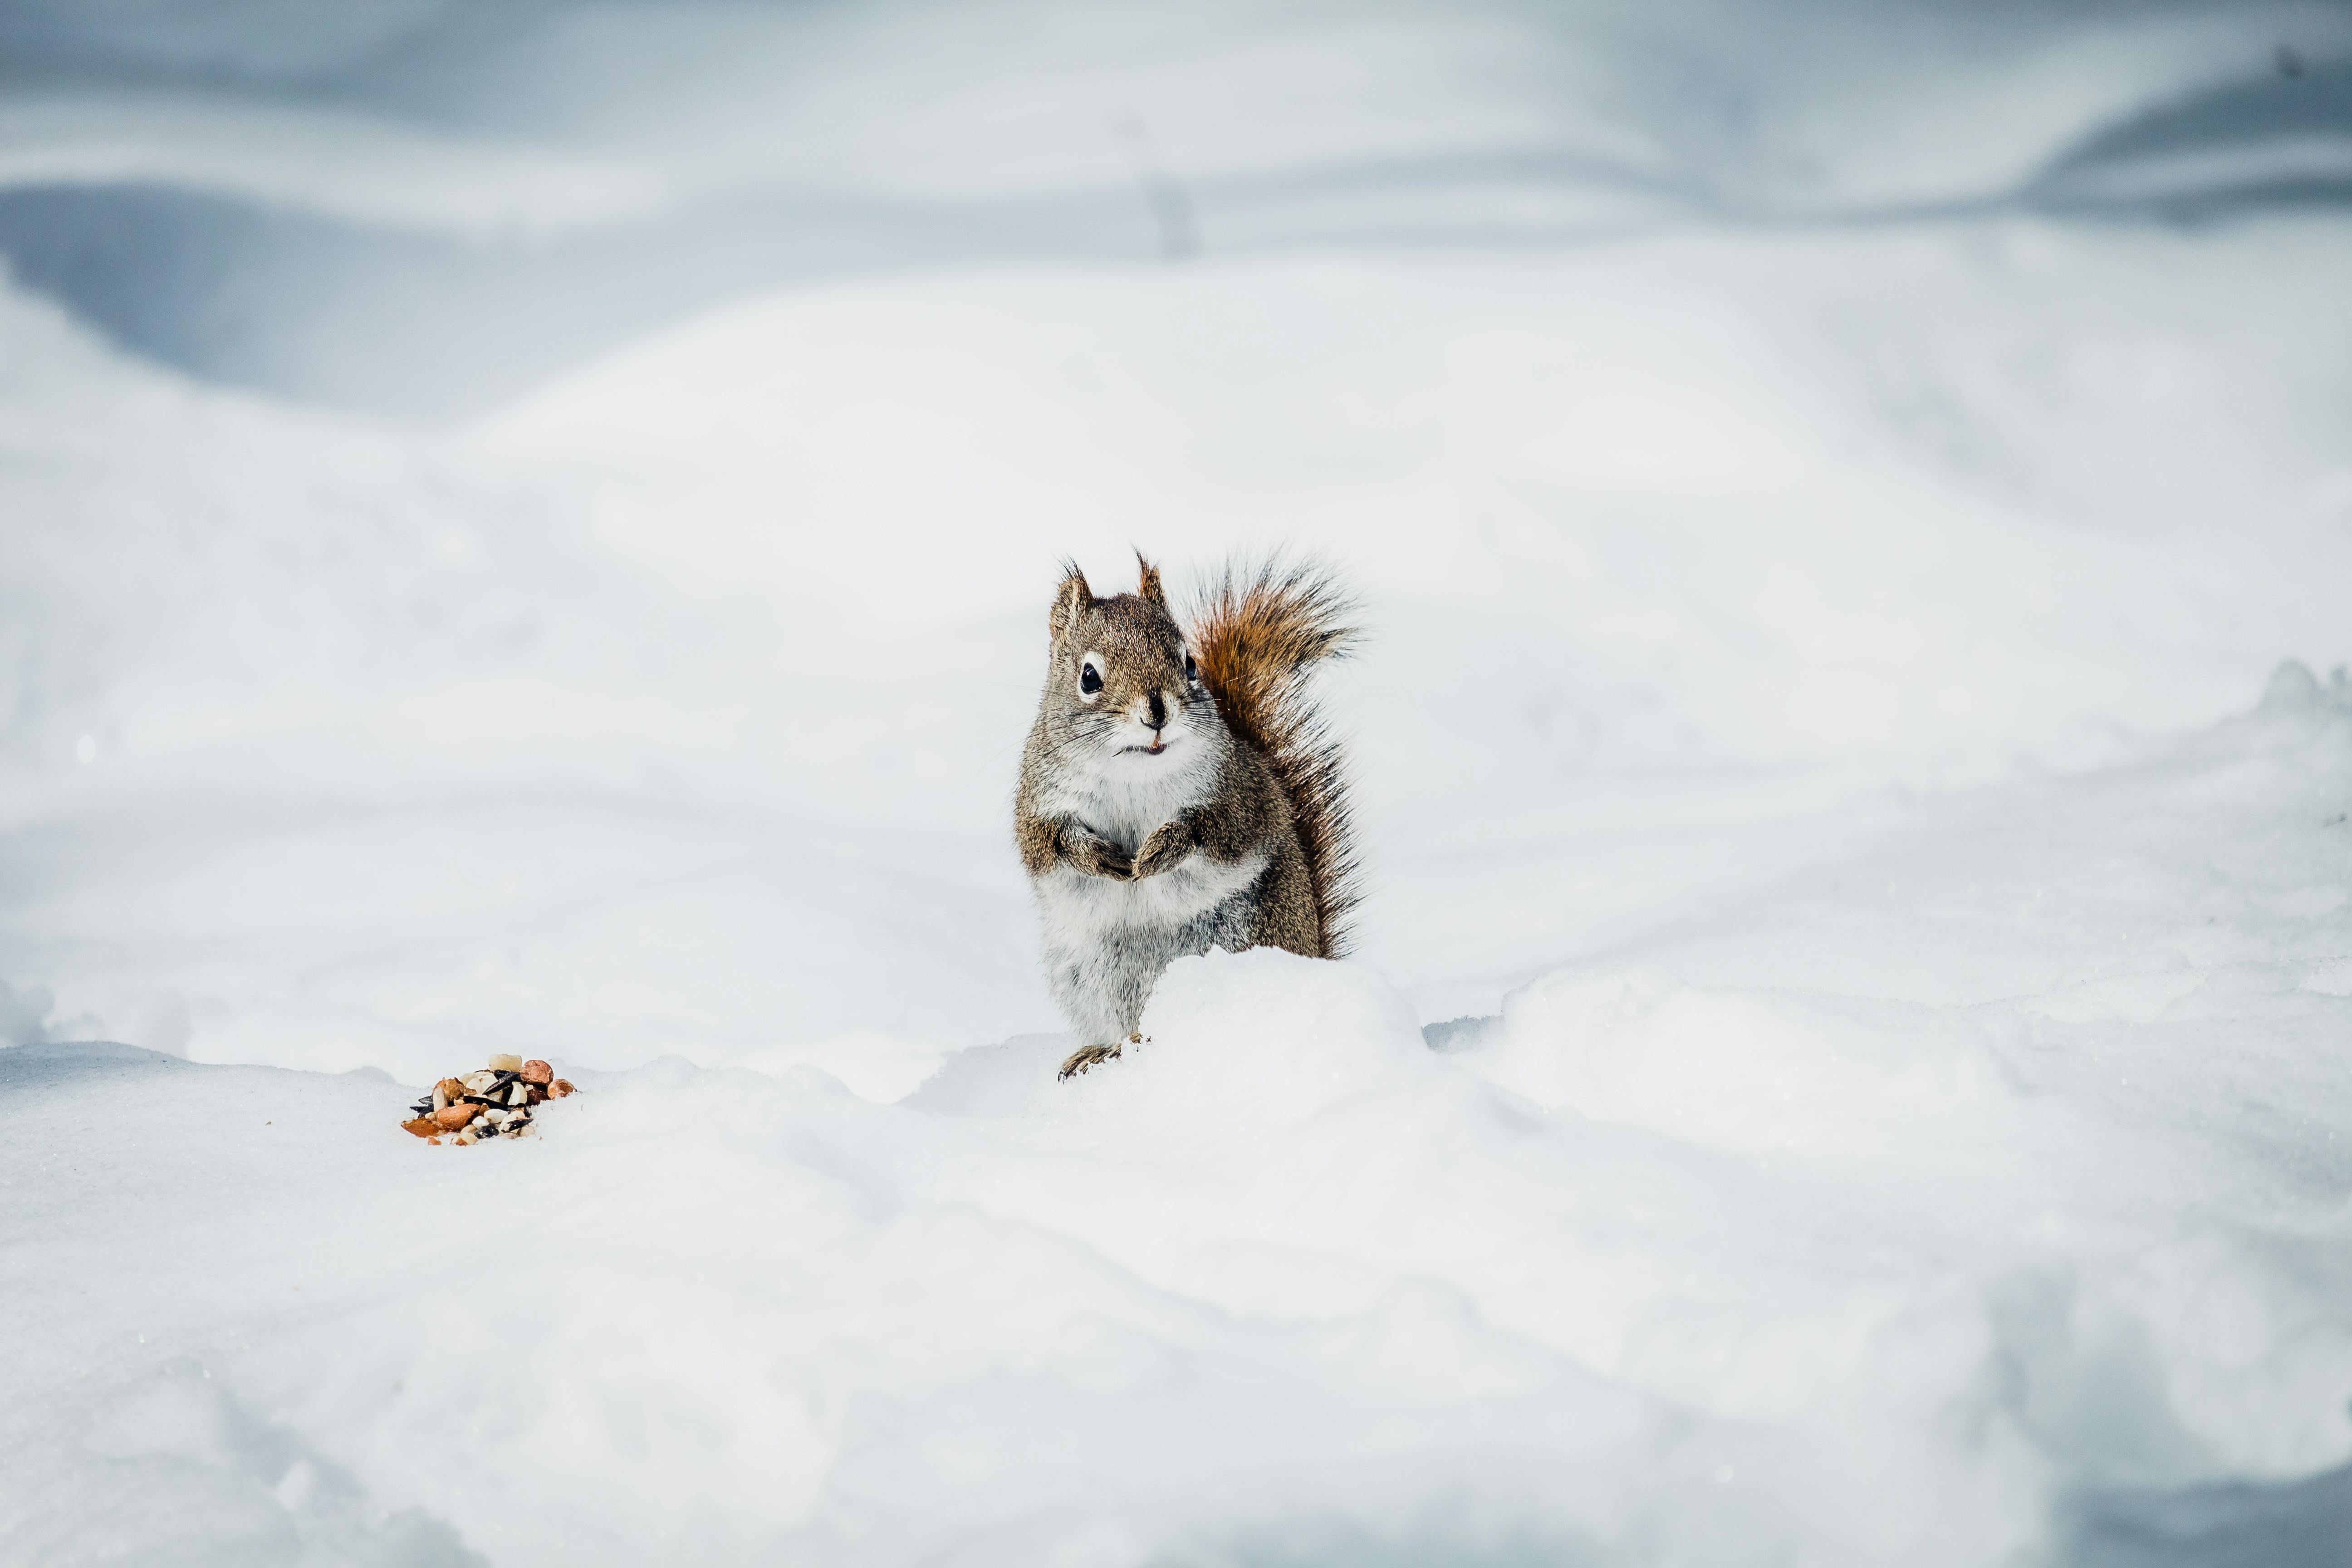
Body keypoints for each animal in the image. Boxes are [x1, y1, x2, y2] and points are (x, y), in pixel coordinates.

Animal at [1015, 553, 1360, 1079]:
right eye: (1089, 677)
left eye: (1189, 662)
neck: (1133, 772)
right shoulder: (1037, 800)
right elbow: (1045, 843)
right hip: (1092, 970)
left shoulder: (1243, 792)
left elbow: (1221, 829)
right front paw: (1098, 856)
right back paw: (1107, 1049)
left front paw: (1163, 849)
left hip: (1248, 934)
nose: (1158, 712)